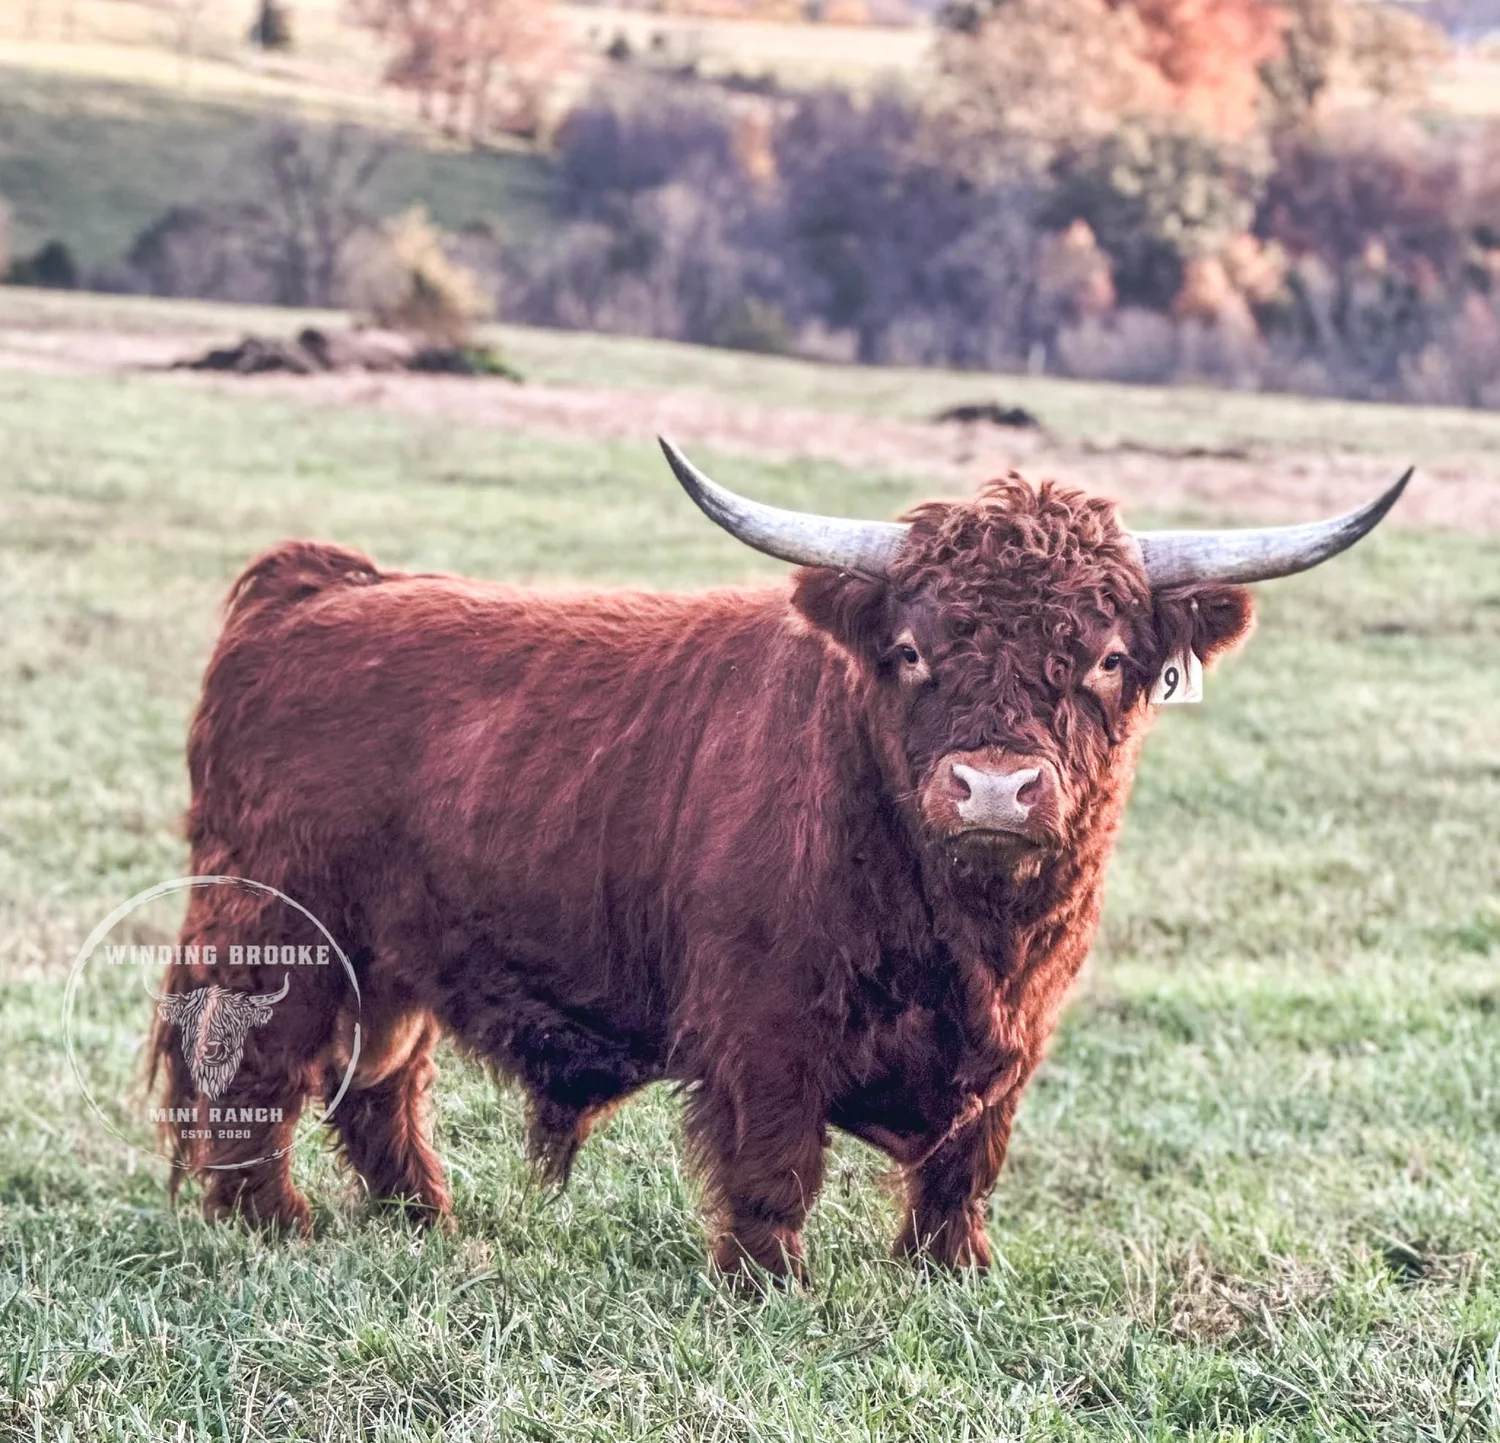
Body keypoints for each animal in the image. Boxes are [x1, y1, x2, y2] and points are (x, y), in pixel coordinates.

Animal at [149, 441, 1408, 1277]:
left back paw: (431, 1226)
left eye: (1104, 658)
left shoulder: (1017, 1042)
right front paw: (768, 1285)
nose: (994, 788)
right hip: (280, 933)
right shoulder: (764, 1022)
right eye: (912, 649)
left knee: (379, 1085)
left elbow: (966, 1167)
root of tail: (318, 588)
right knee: (252, 1076)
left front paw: (950, 1272)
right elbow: (773, 1166)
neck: (967, 934)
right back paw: (277, 1228)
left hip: (397, 960)